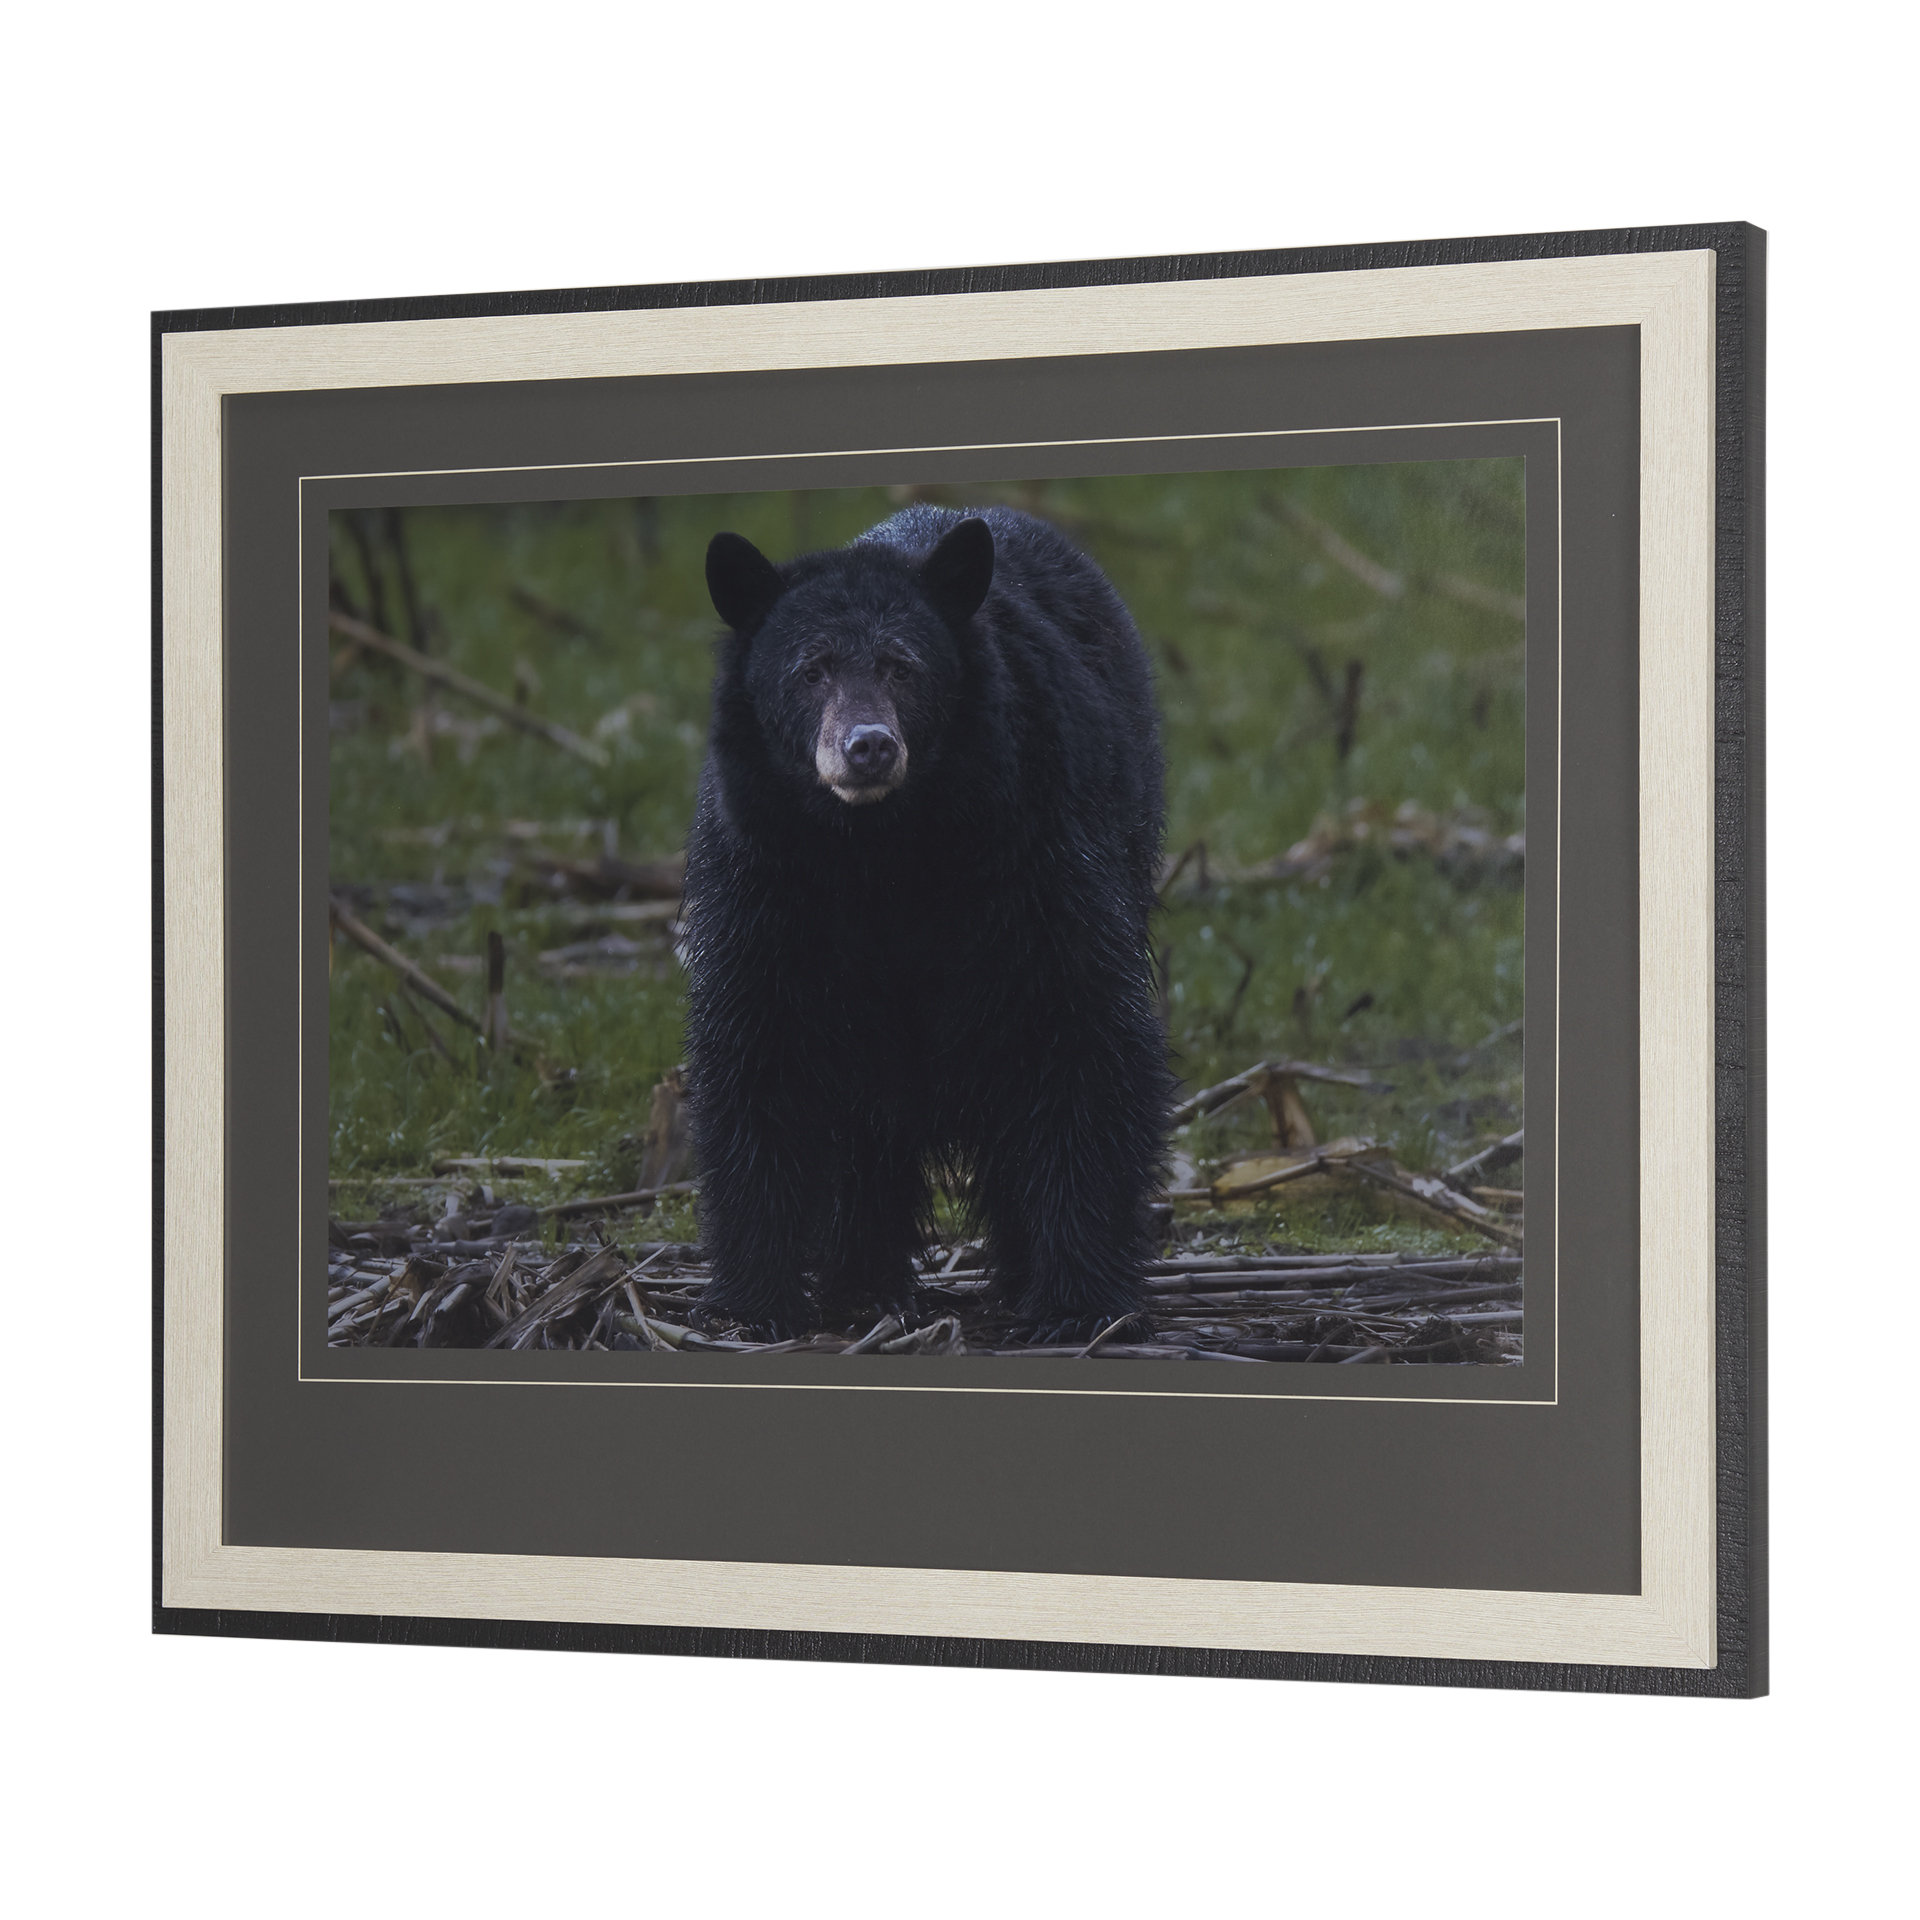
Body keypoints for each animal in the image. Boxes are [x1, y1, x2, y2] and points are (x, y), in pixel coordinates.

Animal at [680, 503, 1170, 1339]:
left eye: (903, 667)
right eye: (811, 670)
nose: (868, 747)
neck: (885, 851)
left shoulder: (1037, 850)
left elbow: (1081, 1035)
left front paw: (1078, 1301)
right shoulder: (764, 882)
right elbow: (759, 1051)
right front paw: (757, 1299)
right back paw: (864, 1282)